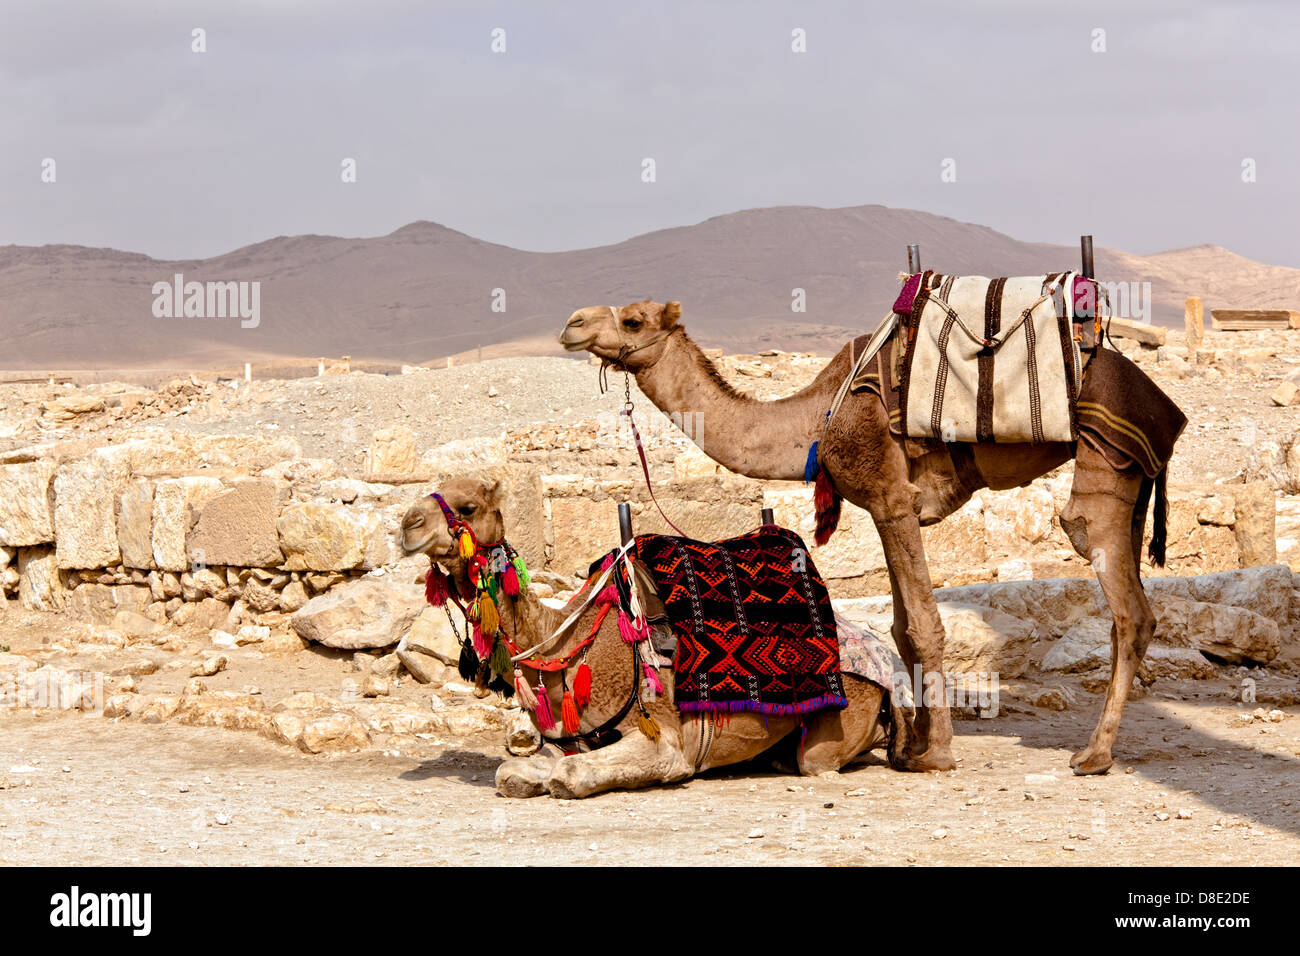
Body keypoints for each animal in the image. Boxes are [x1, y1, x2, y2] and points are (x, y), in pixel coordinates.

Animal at [400, 476, 897, 798]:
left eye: (468, 507)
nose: (408, 523)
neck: (564, 647)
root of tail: (878, 652)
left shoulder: (664, 739)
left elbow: (572, 774)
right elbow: (511, 772)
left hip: (836, 726)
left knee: (822, 757)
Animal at [560, 300, 1179, 775]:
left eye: (634, 320)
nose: (573, 323)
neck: (816, 418)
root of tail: (1163, 404)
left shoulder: (890, 495)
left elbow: (926, 626)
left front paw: (938, 755)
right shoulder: (884, 505)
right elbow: (903, 628)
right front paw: (911, 745)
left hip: (1104, 459)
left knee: (1122, 597)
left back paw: (1094, 755)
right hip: (1130, 481)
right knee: (1130, 608)